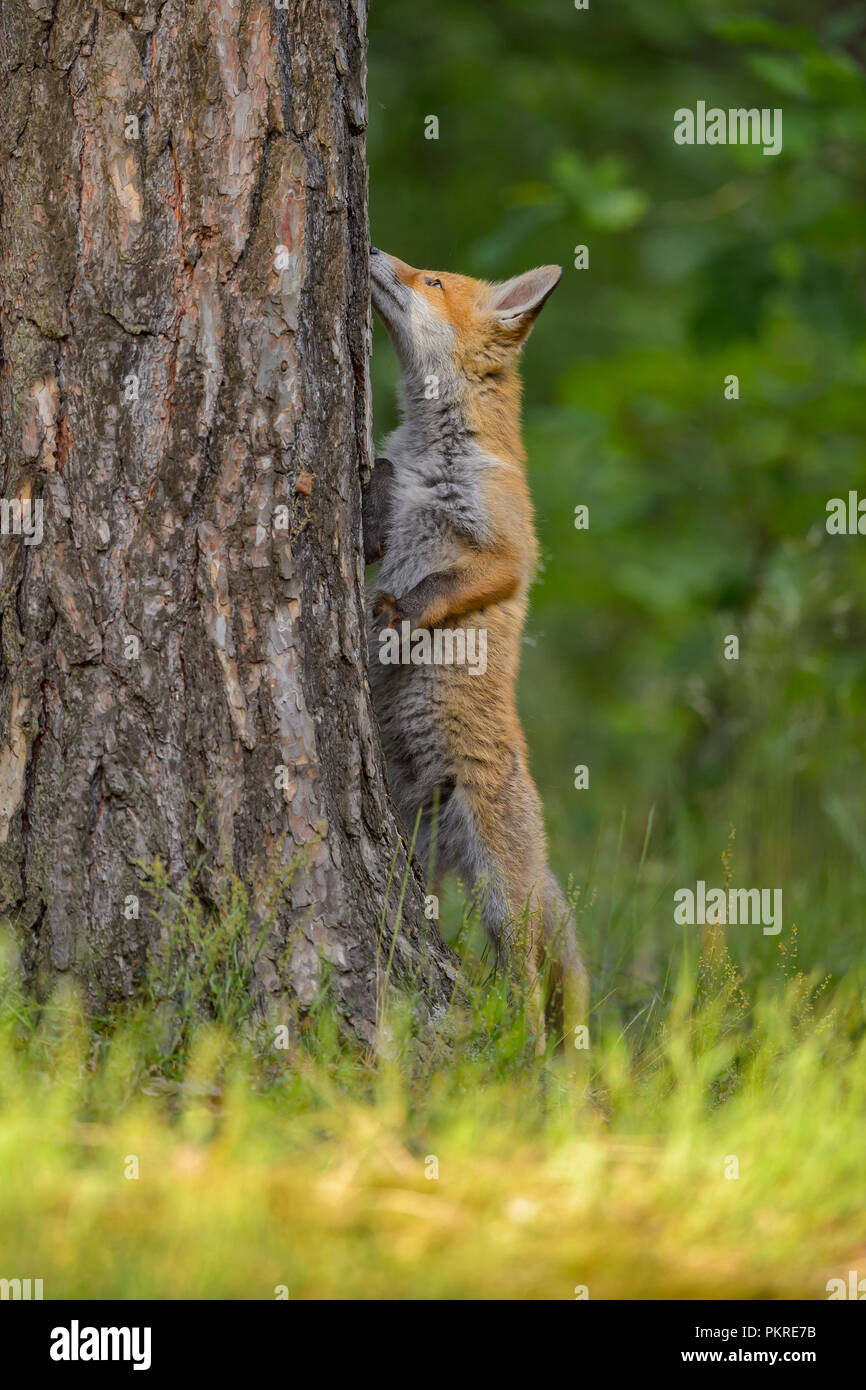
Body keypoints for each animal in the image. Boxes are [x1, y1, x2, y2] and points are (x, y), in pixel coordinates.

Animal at [364, 247, 587, 1051]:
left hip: (500, 891)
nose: (373, 249)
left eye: (431, 281)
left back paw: (527, 1051)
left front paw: (396, 617)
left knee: (525, 979)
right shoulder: (389, 530)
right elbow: (379, 520)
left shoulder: (509, 555)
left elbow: (438, 586)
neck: (437, 450)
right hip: (420, 861)